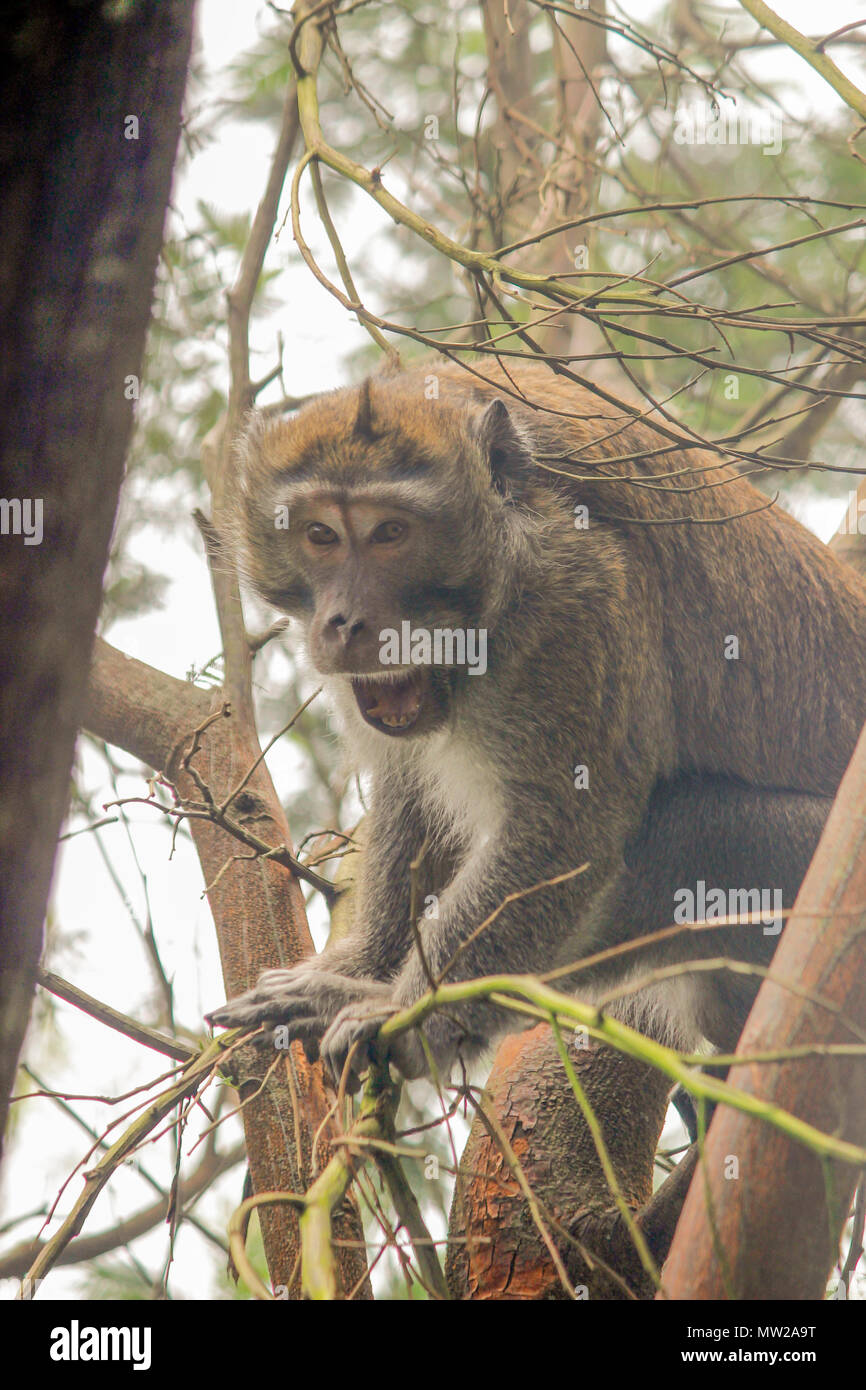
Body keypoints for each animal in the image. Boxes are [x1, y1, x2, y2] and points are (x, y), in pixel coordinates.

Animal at [207, 359, 866, 1091]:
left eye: (390, 534)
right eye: (319, 534)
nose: (344, 622)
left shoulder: (580, 605)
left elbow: (559, 835)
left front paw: (402, 1013)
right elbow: (414, 798)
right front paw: (358, 966)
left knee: (682, 834)